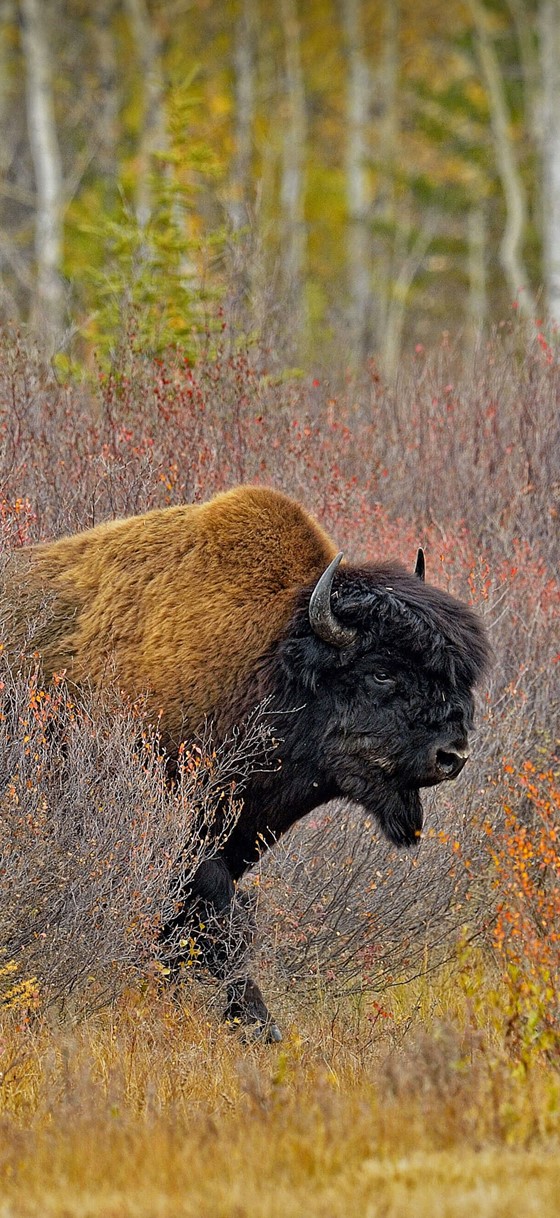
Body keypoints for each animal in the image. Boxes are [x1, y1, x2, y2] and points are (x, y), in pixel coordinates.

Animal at [4, 486, 489, 1039]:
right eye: (381, 673)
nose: (453, 755)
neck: (270, 657)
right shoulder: (189, 837)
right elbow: (216, 925)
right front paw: (261, 1027)